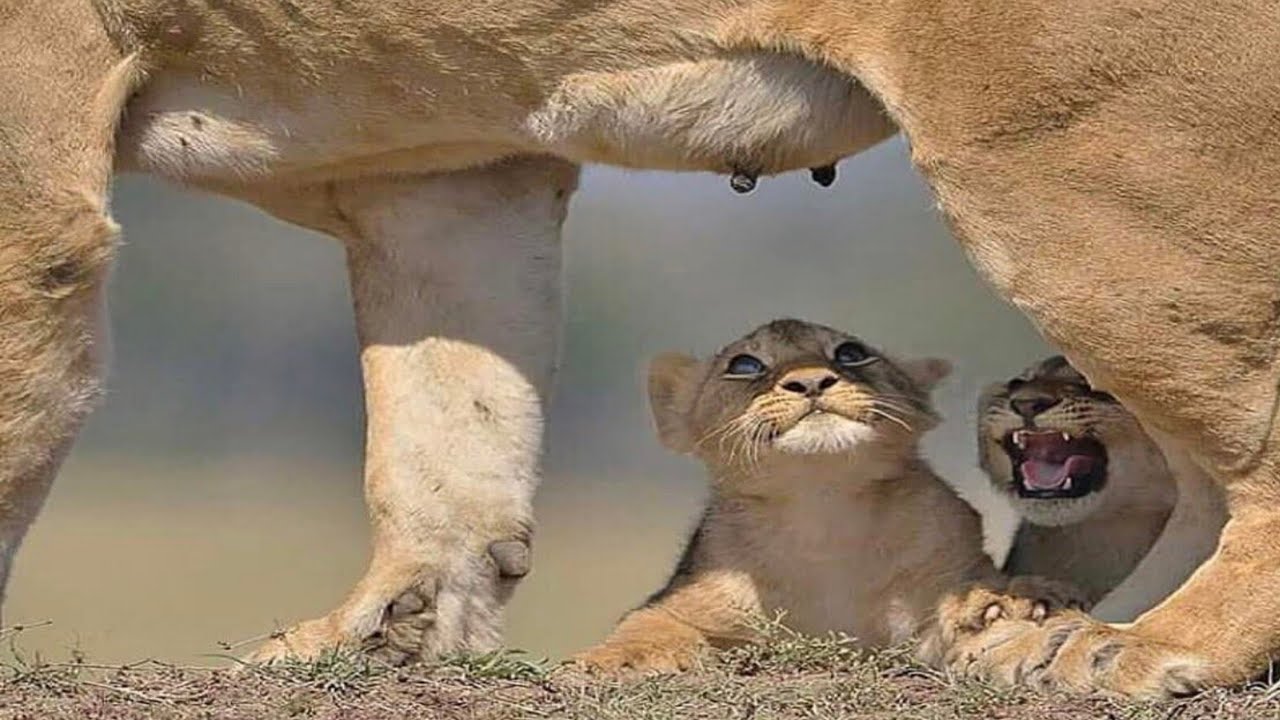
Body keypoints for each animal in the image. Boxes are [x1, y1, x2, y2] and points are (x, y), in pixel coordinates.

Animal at [573, 319, 1081, 673]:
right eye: (745, 365)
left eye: (852, 352)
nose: (812, 380)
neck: (823, 510)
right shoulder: (692, 599)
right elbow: (648, 620)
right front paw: (612, 659)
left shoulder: (932, 599)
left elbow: (974, 594)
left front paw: (1021, 597)